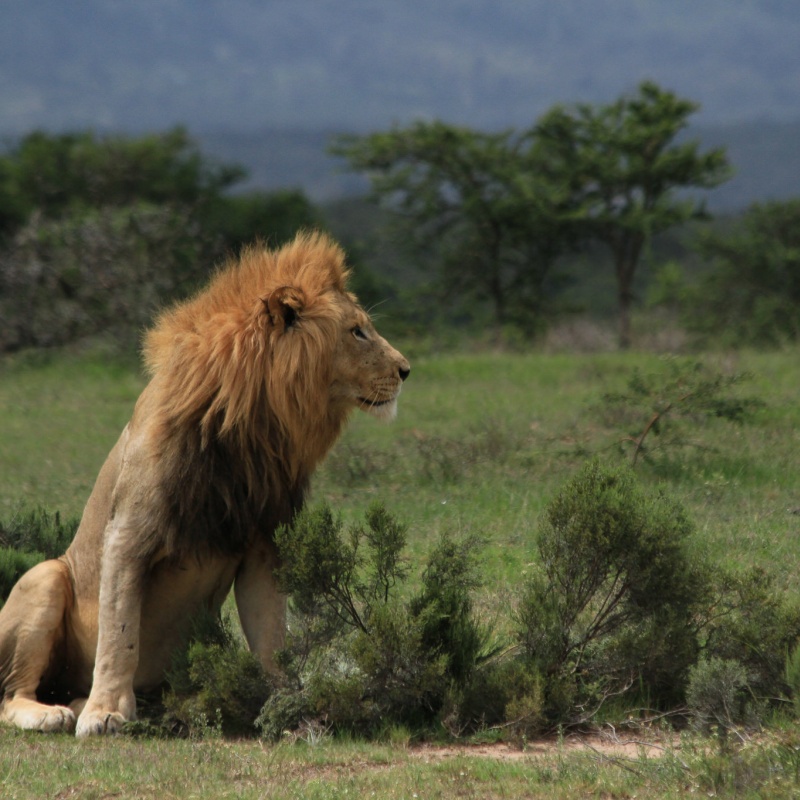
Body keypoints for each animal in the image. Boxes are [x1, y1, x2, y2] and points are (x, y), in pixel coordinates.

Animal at [0, 231, 410, 736]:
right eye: (357, 331)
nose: (406, 369)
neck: (251, 431)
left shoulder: (264, 544)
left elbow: (272, 636)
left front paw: (286, 708)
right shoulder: (128, 534)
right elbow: (120, 634)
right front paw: (107, 711)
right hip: (46, 576)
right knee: (12, 693)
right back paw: (52, 713)